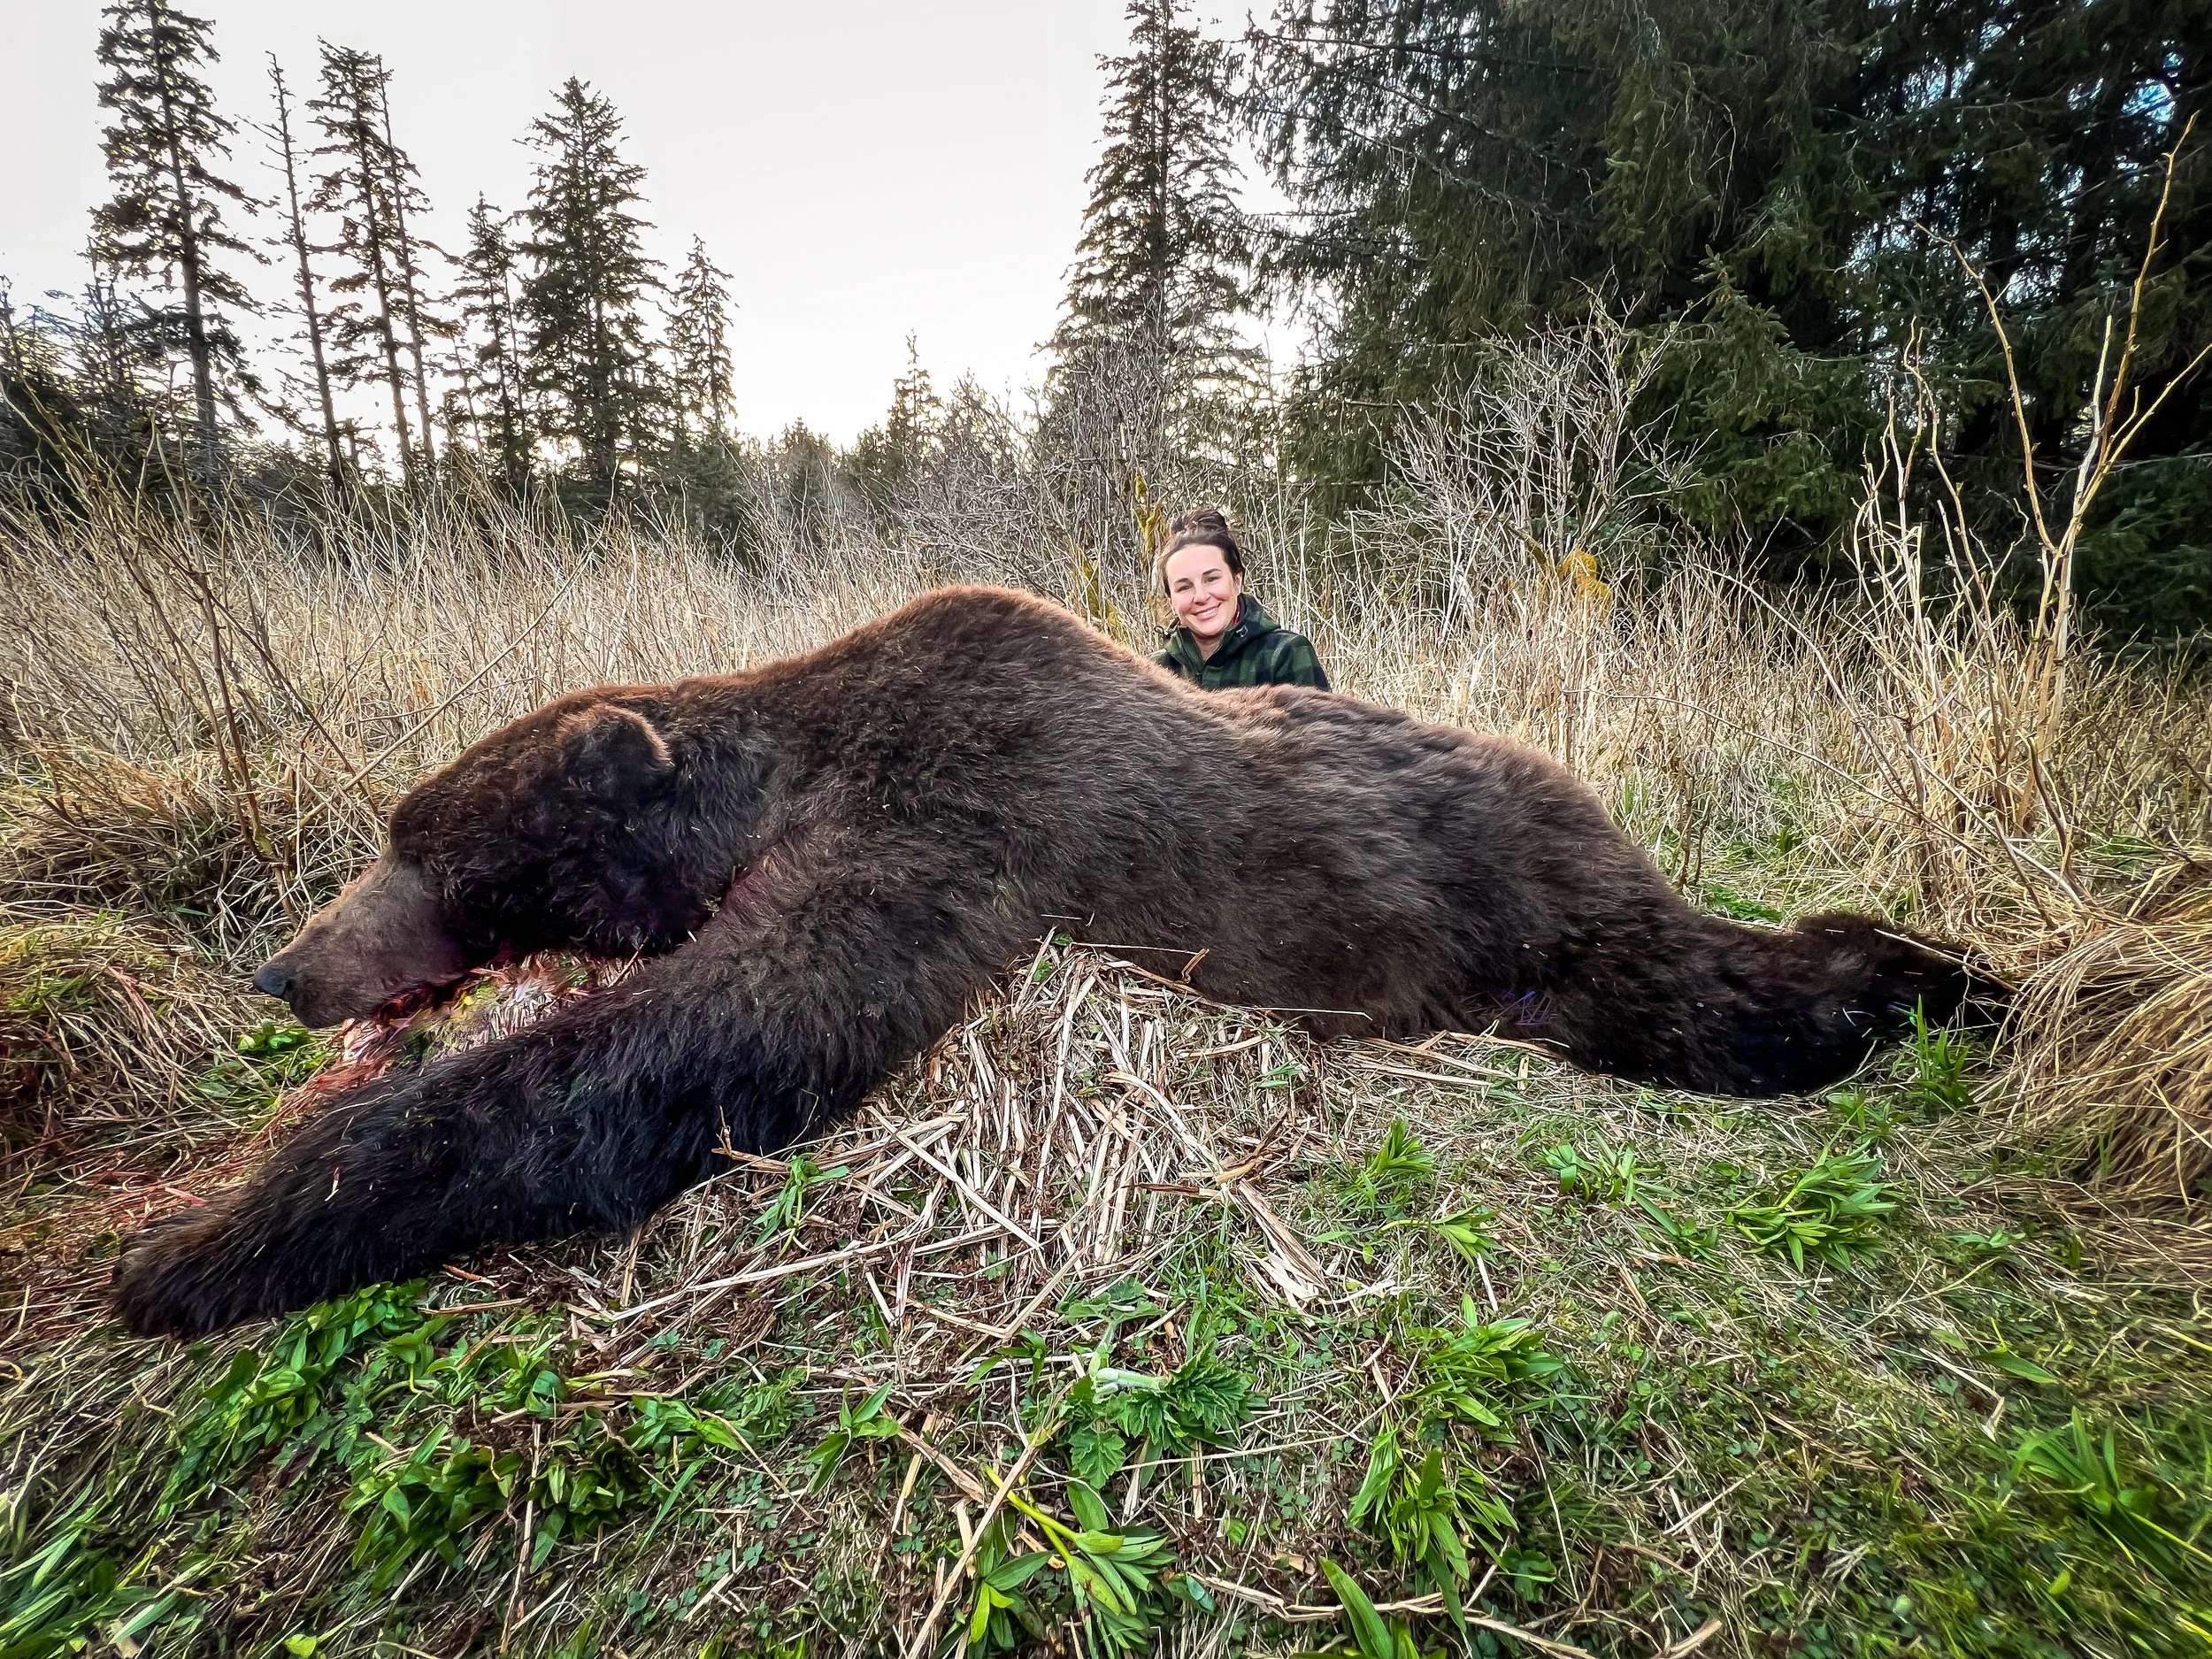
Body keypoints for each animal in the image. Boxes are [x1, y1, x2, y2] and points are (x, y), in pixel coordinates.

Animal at [113, 585, 1983, 1337]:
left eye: (419, 847)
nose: (282, 970)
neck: (776, 772)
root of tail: (1582, 802)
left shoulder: (946, 835)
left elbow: (694, 1047)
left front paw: (201, 1248)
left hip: (1532, 903)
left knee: (1707, 997)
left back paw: (1939, 981)